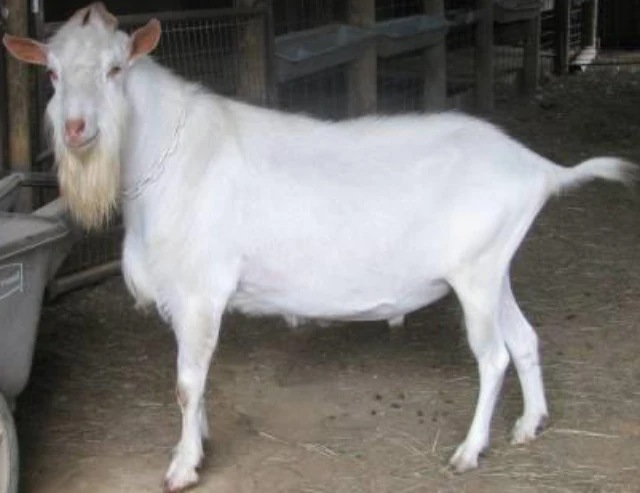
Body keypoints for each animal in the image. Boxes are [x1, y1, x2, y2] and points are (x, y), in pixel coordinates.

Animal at [4, 3, 636, 491]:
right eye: (53, 74)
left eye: (115, 69)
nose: (77, 129)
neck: (169, 158)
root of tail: (537, 169)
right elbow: (198, 382)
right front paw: (201, 441)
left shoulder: (200, 291)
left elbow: (186, 384)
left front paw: (183, 467)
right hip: (494, 268)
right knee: (524, 340)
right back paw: (530, 426)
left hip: (476, 274)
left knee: (493, 356)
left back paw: (469, 451)